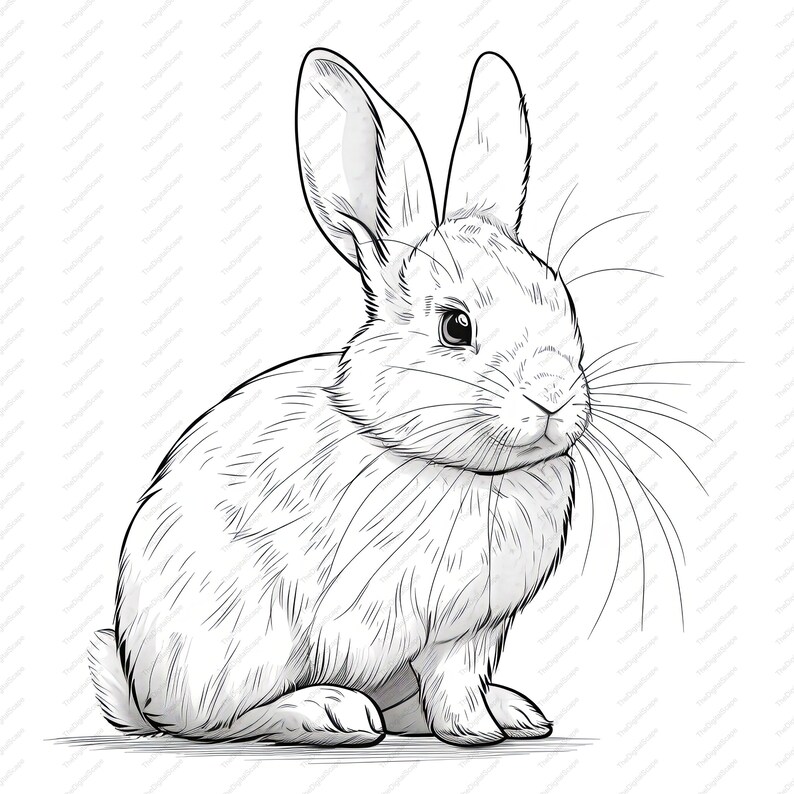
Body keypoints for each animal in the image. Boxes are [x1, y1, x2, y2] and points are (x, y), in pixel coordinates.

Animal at [88, 48, 591, 747]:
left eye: (566, 305)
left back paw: (516, 710)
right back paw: (331, 713)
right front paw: (475, 734)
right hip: (243, 645)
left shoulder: (475, 631)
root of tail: (137, 685)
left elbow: (454, 682)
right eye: (456, 326)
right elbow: (452, 688)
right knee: (219, 723)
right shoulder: (432, 629)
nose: (552, 397)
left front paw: (486, 725)